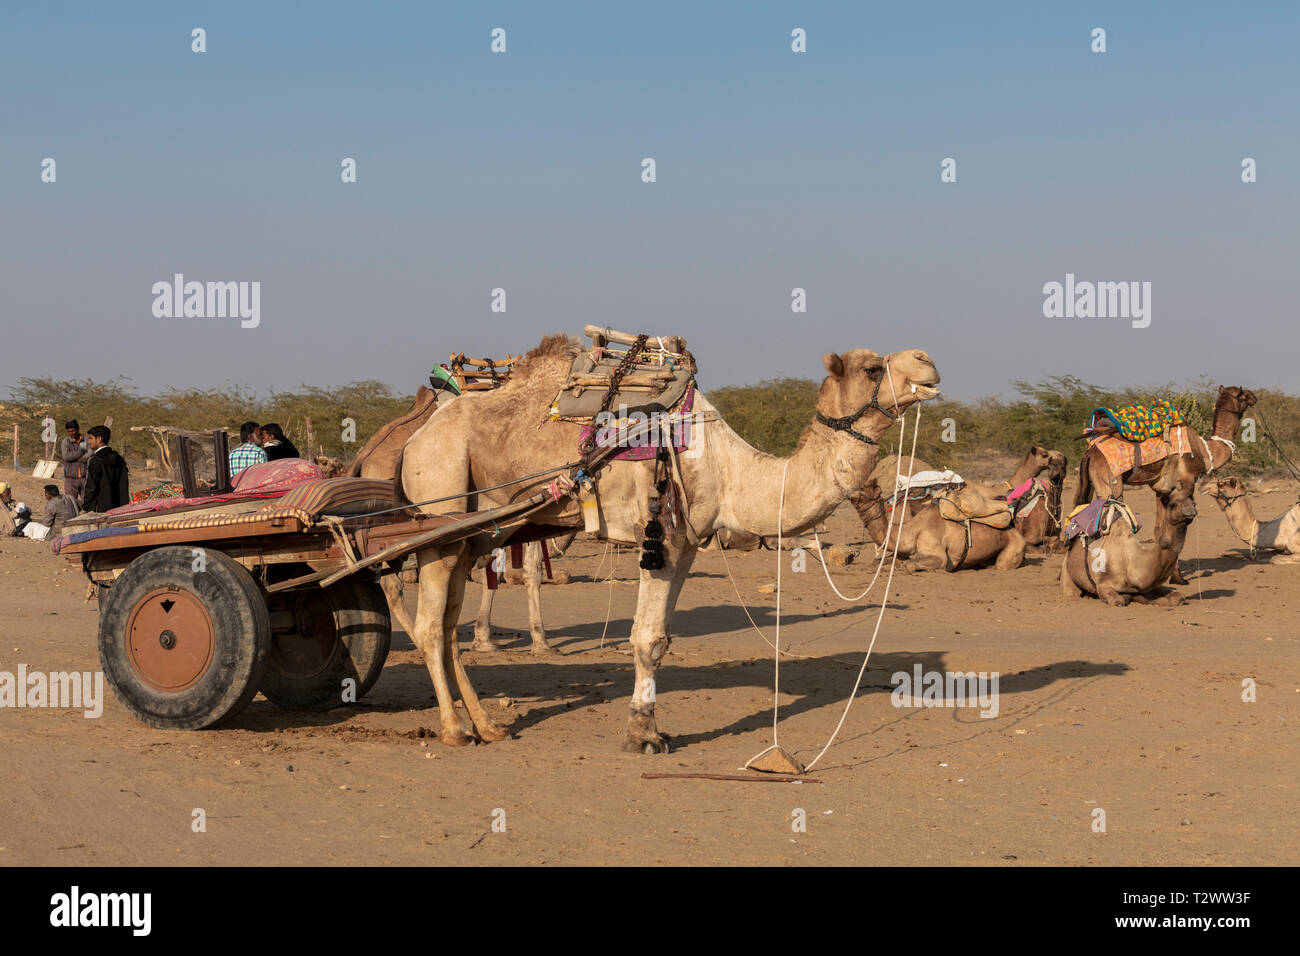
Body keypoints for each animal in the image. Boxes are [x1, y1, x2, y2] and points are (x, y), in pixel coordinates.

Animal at [397, 335, 940, 750]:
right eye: (872, 368)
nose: (928, 360)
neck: (726, 466)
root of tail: (414, 440)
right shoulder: (657, 535)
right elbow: (645, 638)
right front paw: (641, 736)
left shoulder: (687, 545)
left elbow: (661, 639)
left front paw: (648, 730)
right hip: (441, 498)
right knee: (428, 625)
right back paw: (454, 730)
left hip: (473, 529)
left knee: (447, 625)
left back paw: (488, 725)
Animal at [855, 476, 1026, 571]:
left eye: (863, 492)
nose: (850, 494)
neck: (911, 531)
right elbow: (877, 562)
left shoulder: (939, 555)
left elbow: (910, 565)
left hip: (1012, 550)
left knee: (1001, 565)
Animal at [1061, 491, 1196, 606]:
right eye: (1172, 505)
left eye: (1193, 502)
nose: (1192, 509)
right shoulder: (1102, 584)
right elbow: (1119, 600)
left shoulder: (1150, 585)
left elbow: (1178, 597)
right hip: (1068, 568)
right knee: (1072, 591)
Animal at [1072, 386, 1257, 583]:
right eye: (1242, 394)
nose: (1255, 396)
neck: (1205, 451)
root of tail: (1089, 453)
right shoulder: (1185, 483)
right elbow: (1181, 521)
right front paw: (1179, 578)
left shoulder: (1162, 490)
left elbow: (1160, 531)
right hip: (1111, 484)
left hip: (1092, 483)